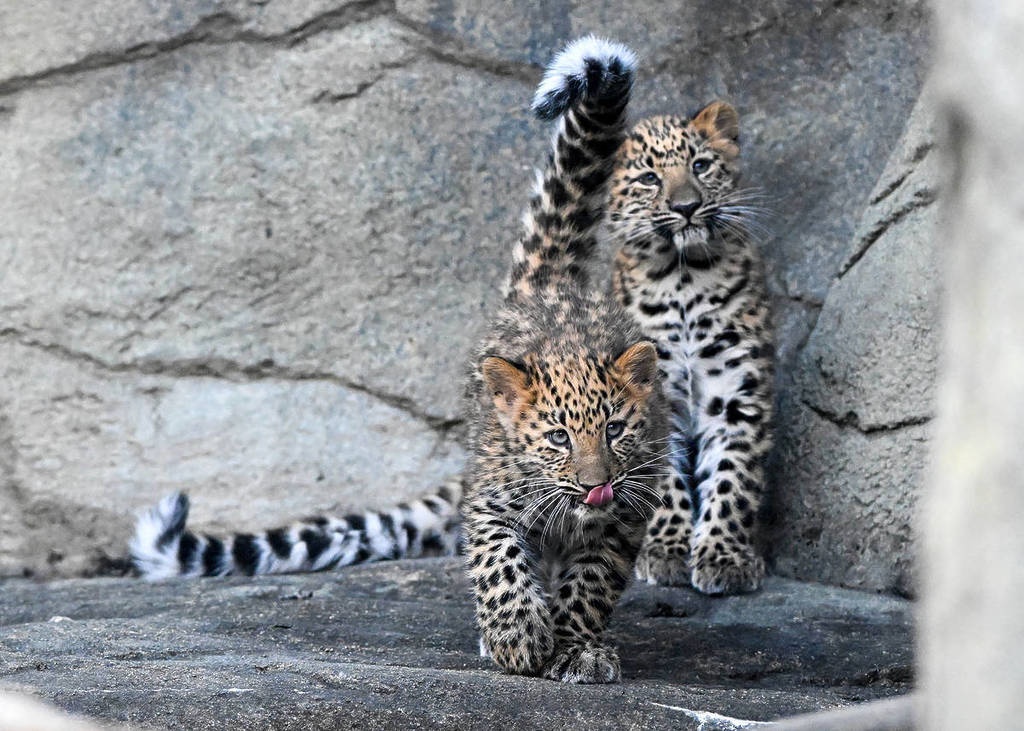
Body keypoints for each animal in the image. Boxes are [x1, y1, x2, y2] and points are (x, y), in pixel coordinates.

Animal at [131, 37, 669, 685]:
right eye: (558, 438)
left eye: (614, 430)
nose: (596, 485)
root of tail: (550, 287)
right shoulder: (491, 503)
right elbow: (499, 563)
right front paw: (517, 638)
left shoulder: (624, 518)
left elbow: (589, 585)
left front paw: (577, 649)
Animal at [607, 105, 775, 595]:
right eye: (649, 178)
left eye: (700, 166)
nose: (686, 206)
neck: (683, 276)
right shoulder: (649, 396)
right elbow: (663, 481)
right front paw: (664, 550)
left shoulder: (738, 394)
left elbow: (733, 478)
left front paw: (724, 556)